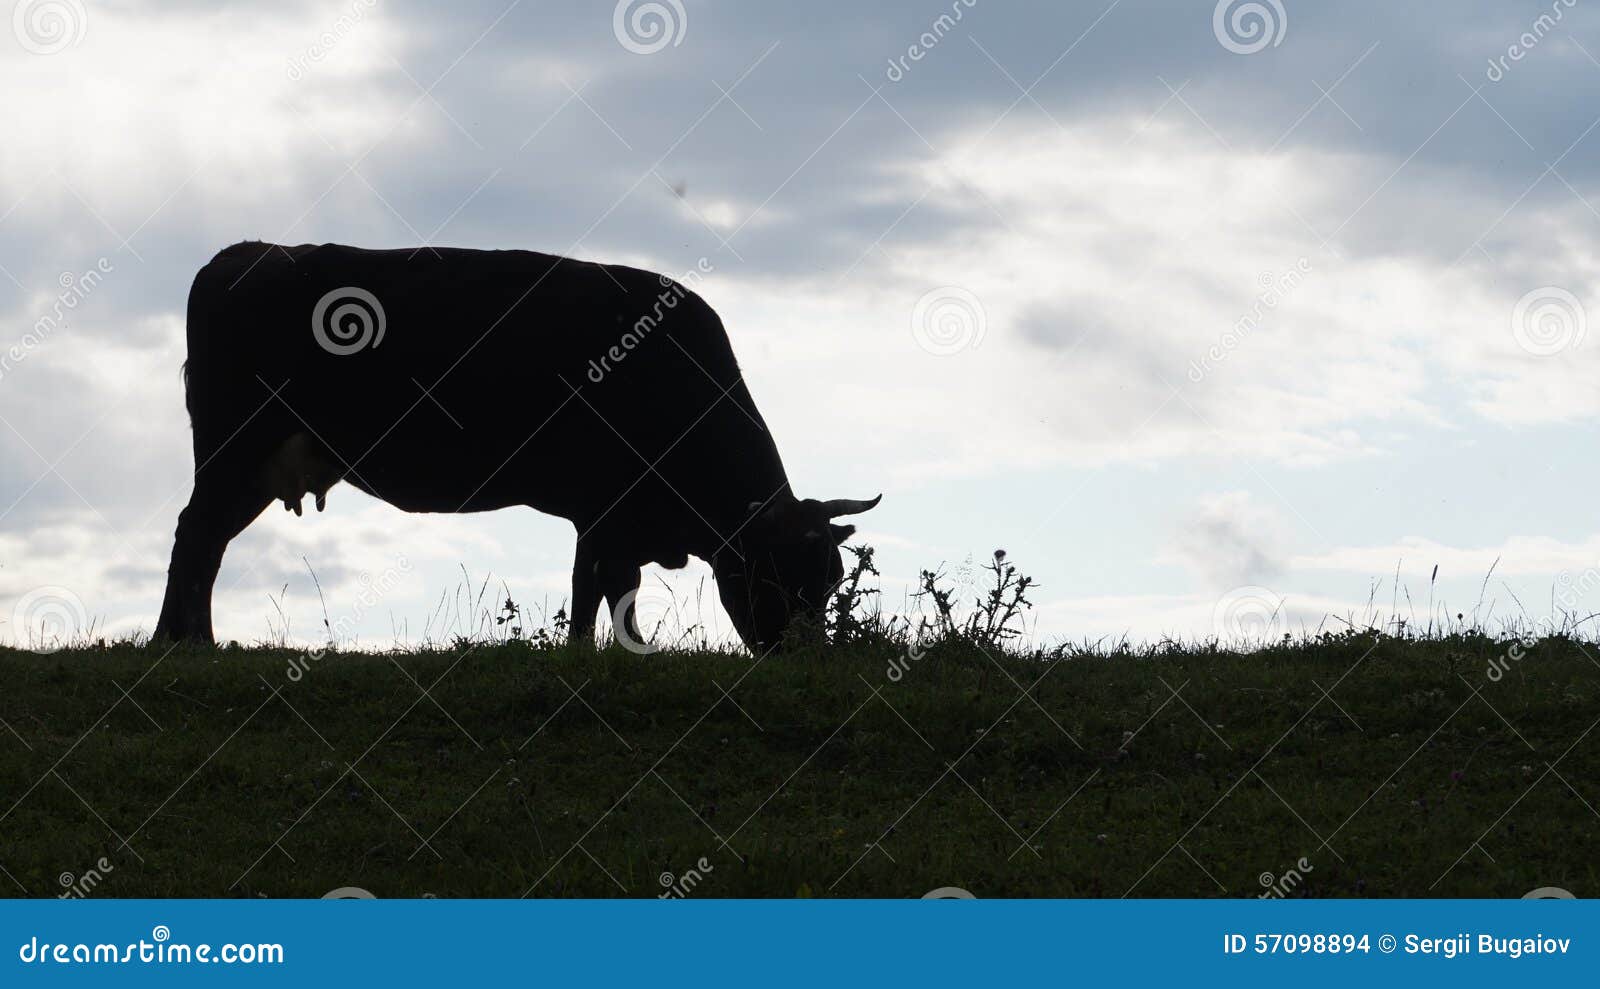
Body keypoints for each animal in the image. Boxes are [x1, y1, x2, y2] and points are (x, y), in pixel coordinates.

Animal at [152, 242, 880, 652]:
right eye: (775, 572)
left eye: (829, 580)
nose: (800, 656)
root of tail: (243, 253)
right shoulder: (606, 504)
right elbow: (605, 583)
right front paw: (606, 652)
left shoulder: (610, 514)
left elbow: (602, 584)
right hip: (234, 448)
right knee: (195, 535)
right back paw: (185, 641)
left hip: (253, 466)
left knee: (207, 541)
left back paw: (187, 640)